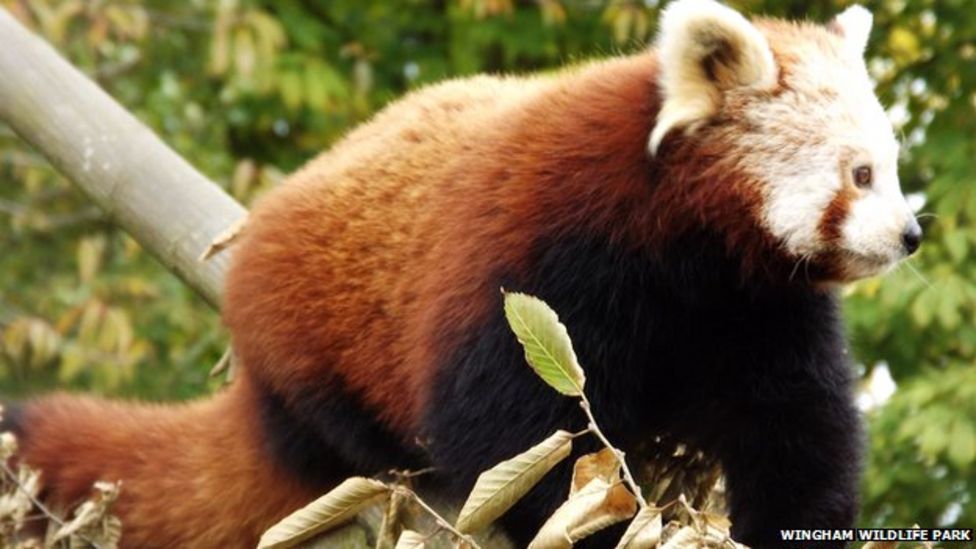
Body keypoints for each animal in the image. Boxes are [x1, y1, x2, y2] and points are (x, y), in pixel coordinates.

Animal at [3, 0, 921, 547]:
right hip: (307, 338)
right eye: (859, 174)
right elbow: (512, 431)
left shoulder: (756, 303)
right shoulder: (544, 260)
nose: (911, 234)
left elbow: (797, 421)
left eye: (892, 166)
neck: (689, 251)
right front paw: (587, 522)